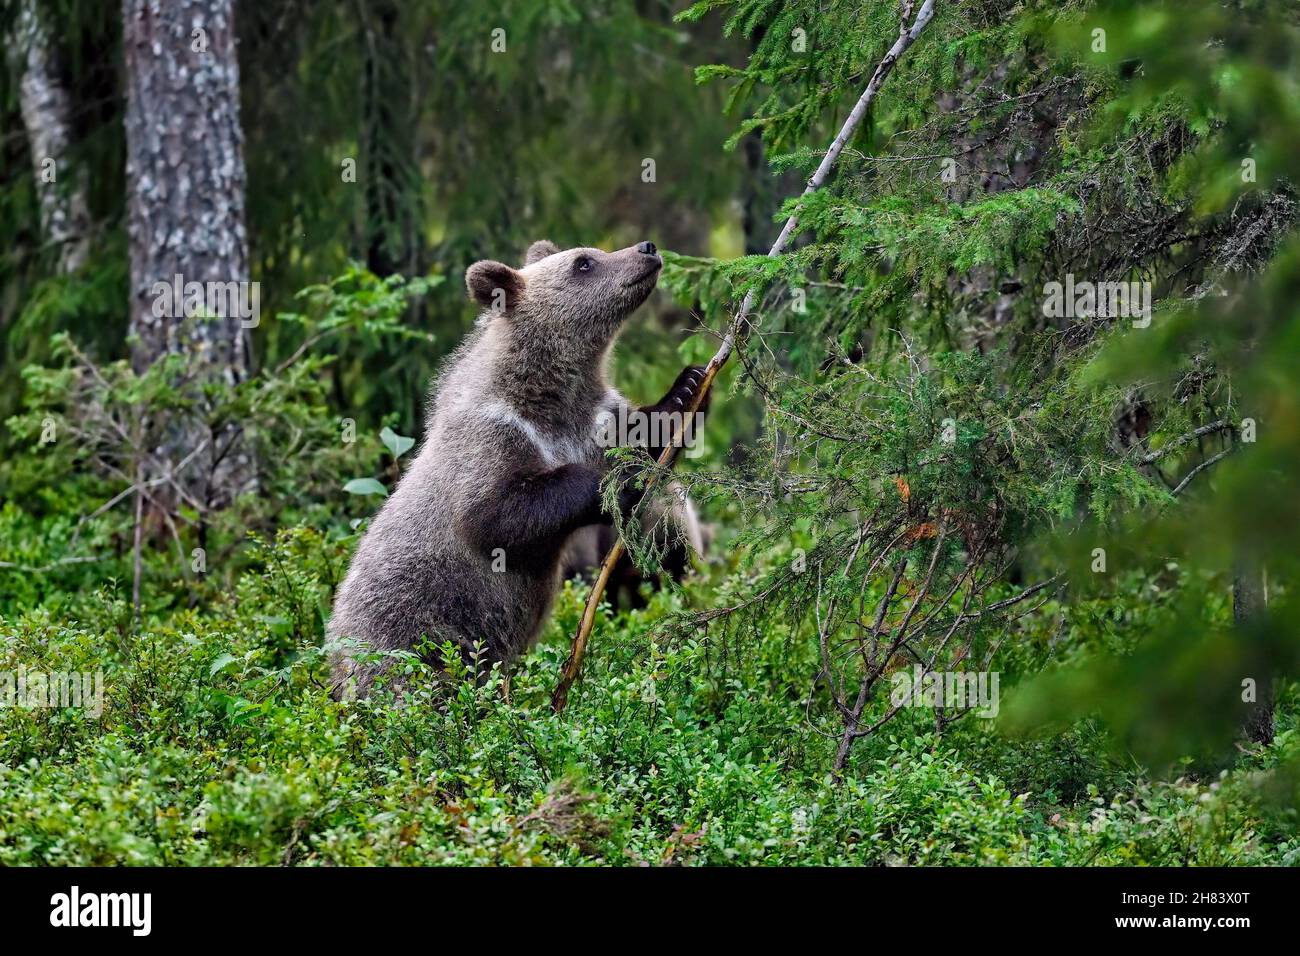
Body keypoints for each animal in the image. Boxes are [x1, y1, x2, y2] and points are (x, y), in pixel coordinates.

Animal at [328, 239, 709, 697]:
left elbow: (641, 436)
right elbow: (496, 514)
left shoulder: (596, 421)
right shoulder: (492, 439)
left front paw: (687, 388)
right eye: (584, 262)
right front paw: (617, 484)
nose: (646, 248)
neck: (551, 397)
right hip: (408, 637)